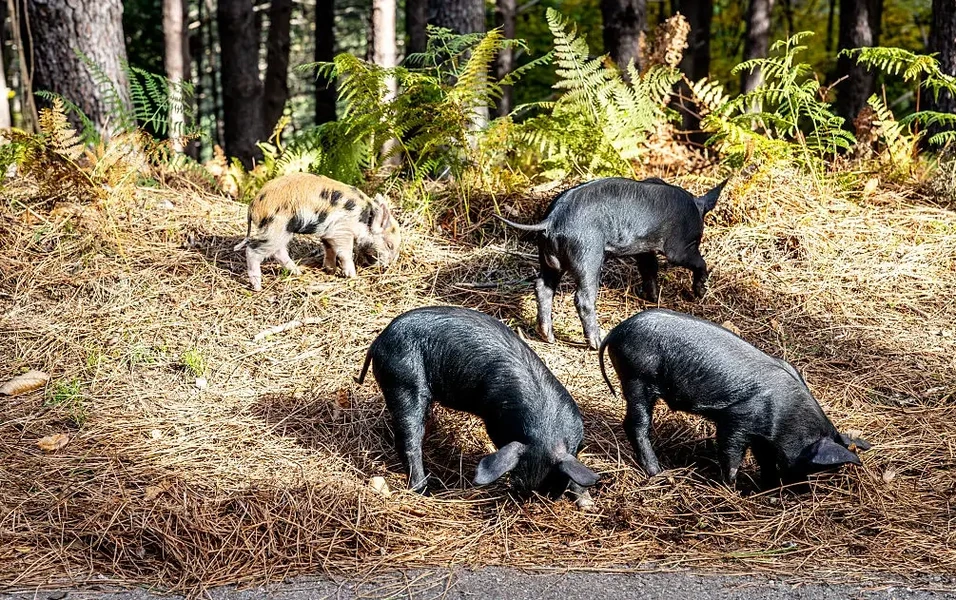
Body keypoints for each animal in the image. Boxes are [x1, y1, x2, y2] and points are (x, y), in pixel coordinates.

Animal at [234, 172, 402, 291]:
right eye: (390, 245)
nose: (388, 265)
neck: (364, 219)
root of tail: (253, 206)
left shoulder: (329, 234)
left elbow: (329, 249)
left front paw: (330, 270)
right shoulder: (342, 231)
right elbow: (345, 253)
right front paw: (352, 276)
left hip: (281, 231)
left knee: (278, 251)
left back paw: (298, 272)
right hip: (276, 228)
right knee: (253, 250)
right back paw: (257, 287)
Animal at [356, 306, 599, 505]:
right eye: (517, 481)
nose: (524, 498)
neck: (546, 428)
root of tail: (379, 341)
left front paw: (588, 505)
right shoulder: (494, 422)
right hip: (403, 382)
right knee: (409, 440)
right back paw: (423, 490)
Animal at [497, 177, 728, 349]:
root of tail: (552, 220)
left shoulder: (644, 249)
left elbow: (649, 267)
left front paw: (651, 297)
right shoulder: (680, 248)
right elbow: (699, 262)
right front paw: (699, 292)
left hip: (548, 259)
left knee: (542, 287)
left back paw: (548, 336)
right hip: (588, 256)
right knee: (583, 298)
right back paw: (596, 343)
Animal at [598, 308, 871, 488]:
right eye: (810, 464)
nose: (797, 488)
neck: (788, 414)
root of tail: (617, 330)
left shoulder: (763, 436)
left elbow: (765, 458)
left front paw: (765, 485)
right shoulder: (737, 419)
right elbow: (731, 452)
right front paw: (732, 487)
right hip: (637, 378)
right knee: (636, 424)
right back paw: (658, 472)